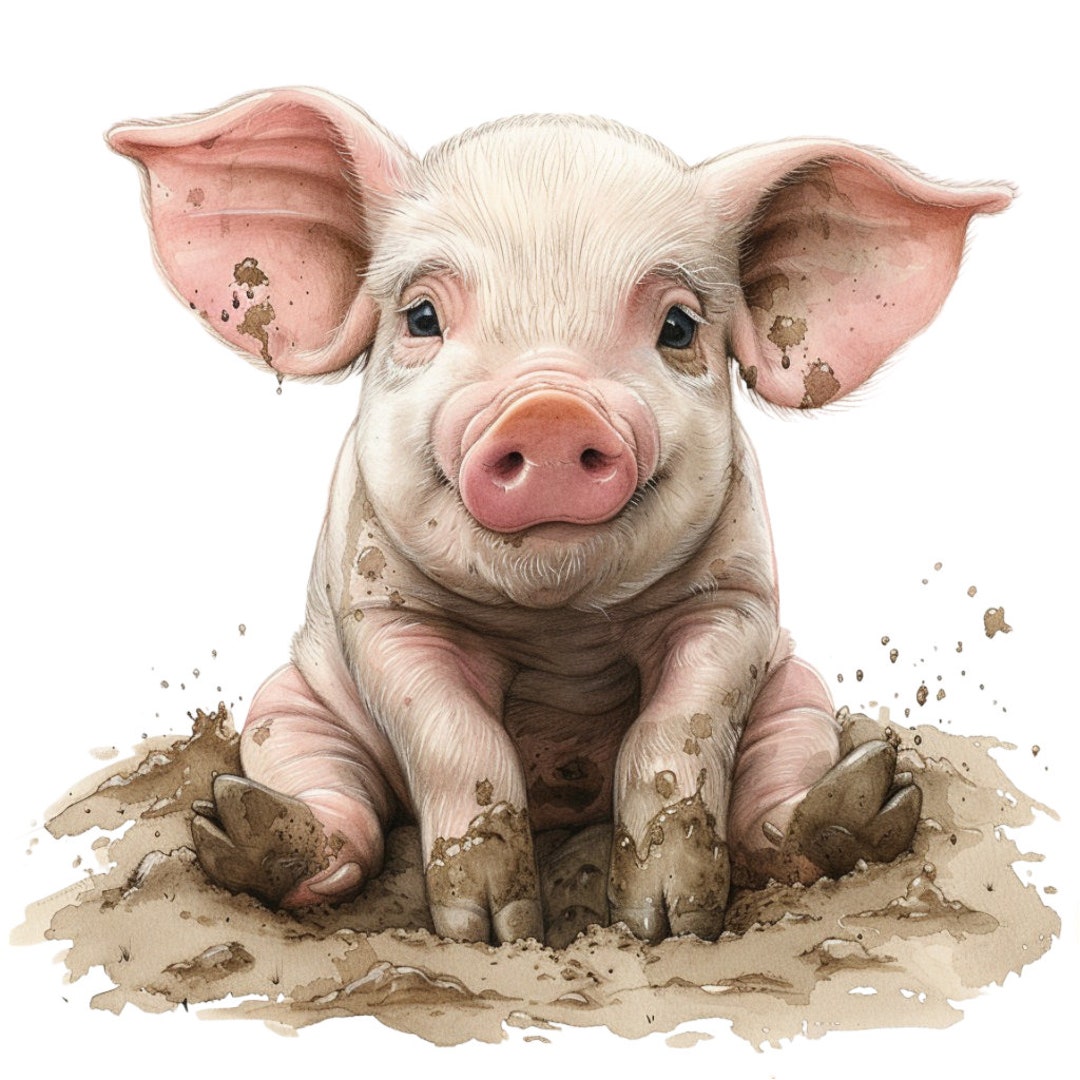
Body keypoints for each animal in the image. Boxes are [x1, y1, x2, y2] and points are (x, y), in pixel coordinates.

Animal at [108, 88, 1011, 945]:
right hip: (292, 703)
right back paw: (251, 832)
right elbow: (456, 738)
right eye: (421, 317)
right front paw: (493, 938)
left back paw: (853, 811)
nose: (548, 410)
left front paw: (663, 930)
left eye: (678, 325)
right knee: (321, 793)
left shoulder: (735, 600)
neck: (558, 629)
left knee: (780, 799)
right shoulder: (381, 610)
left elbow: (677, 732)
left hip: (797, 692)